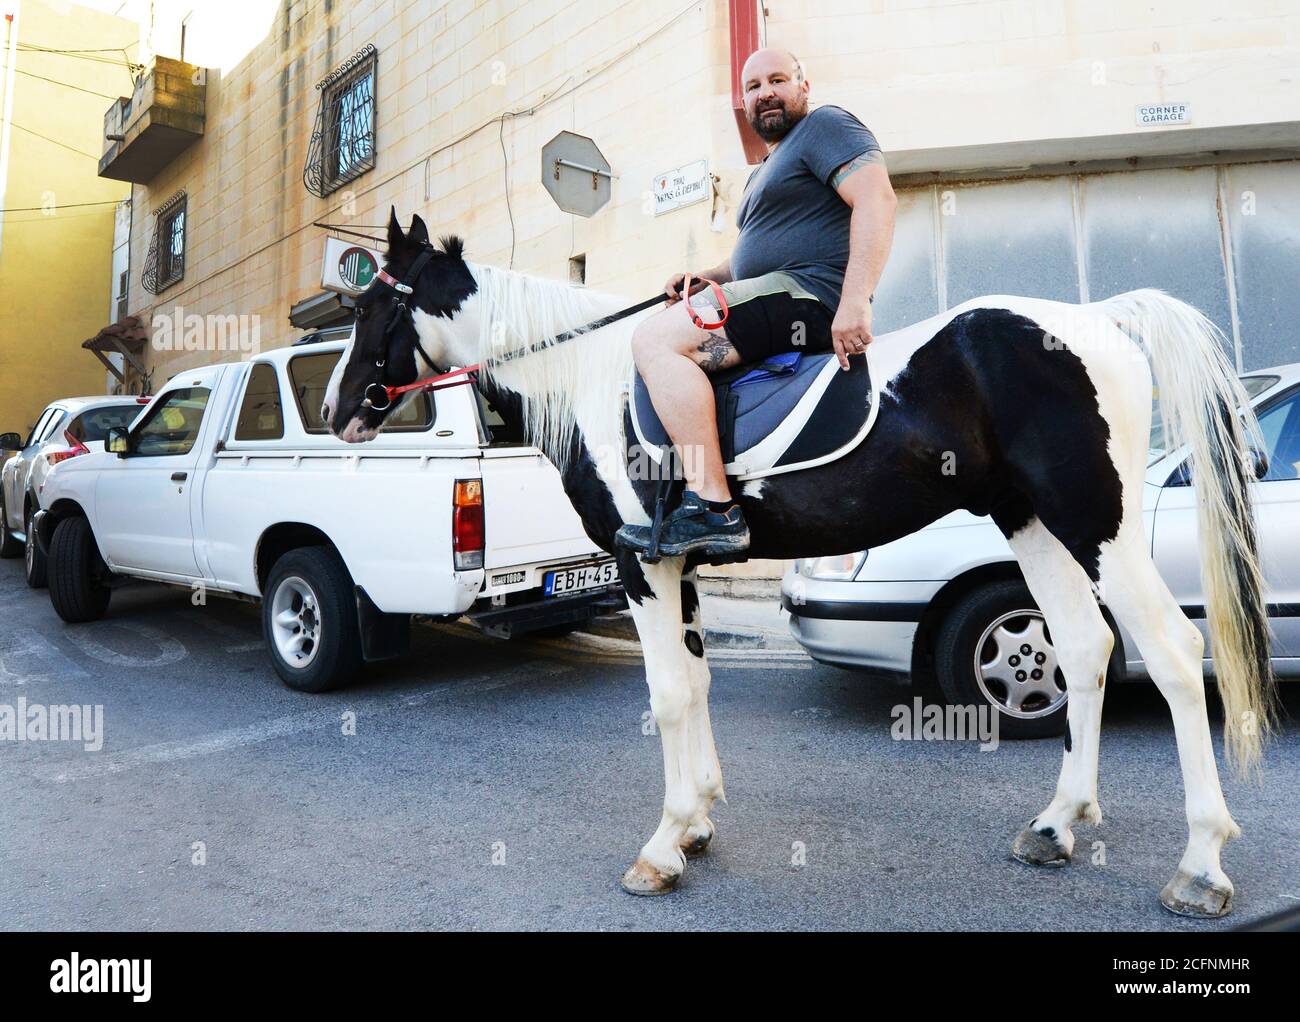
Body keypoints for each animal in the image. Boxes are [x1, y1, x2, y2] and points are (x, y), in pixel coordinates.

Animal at [322, 211, 1276, 918]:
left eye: (371, 312)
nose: (337, 411)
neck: (590, 380)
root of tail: (1102, 317)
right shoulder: (684, 569)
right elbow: (698, 684)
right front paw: (698, 821)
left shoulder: (645, 570)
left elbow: (667, 697)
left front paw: (664, 844)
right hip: (1035, 523)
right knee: (1083, 649)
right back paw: (1057, 824)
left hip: (1094, 522)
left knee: (1176, 654)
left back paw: (1201, 864)